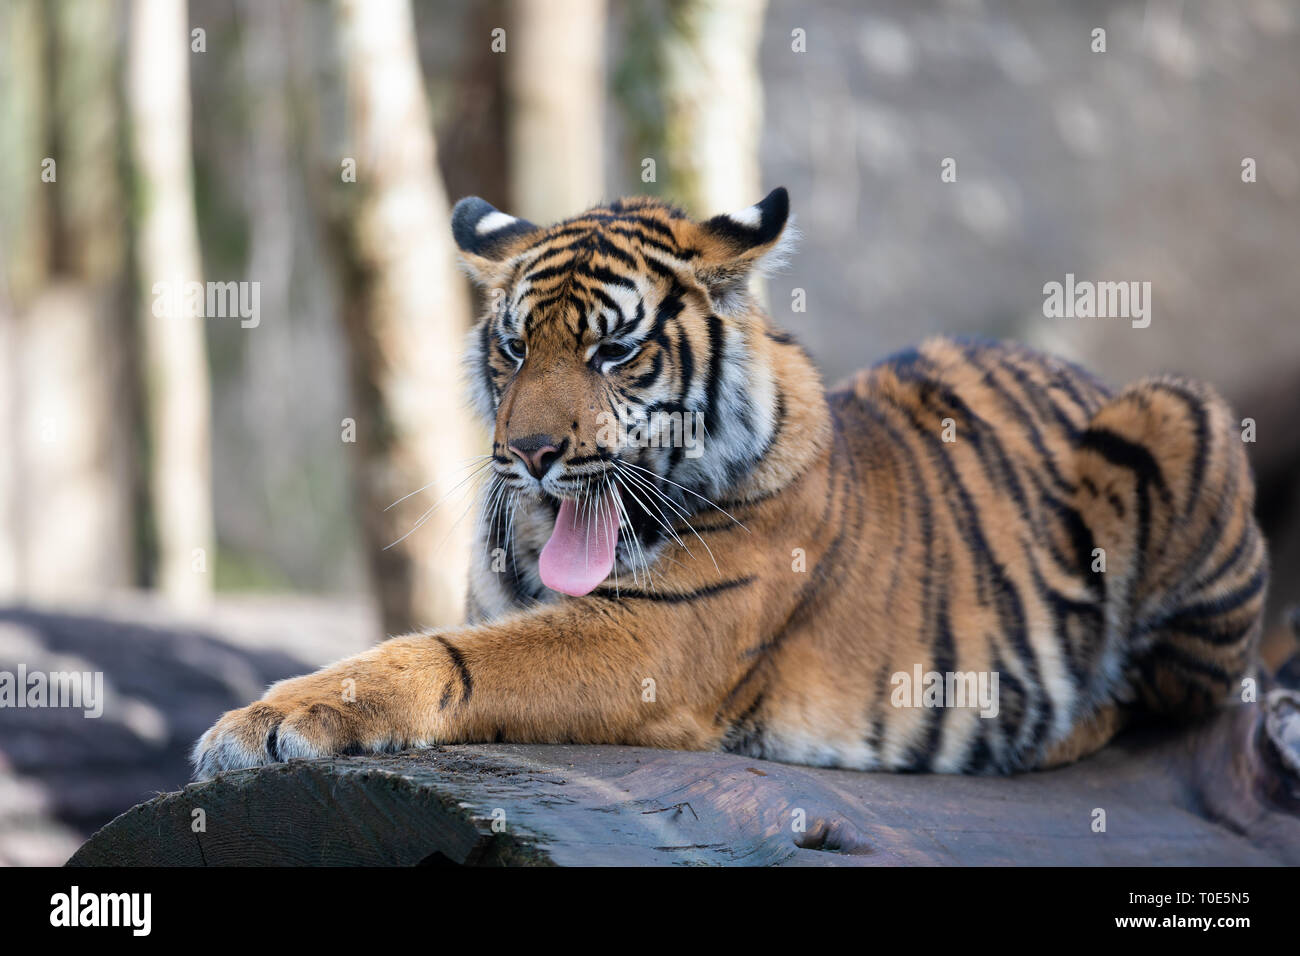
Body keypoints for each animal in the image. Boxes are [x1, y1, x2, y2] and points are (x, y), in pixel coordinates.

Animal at [193, 187, 1268, 779]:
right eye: (513, 346)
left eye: (614, 351)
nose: (531, 452)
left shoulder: (652, 638)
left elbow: (452, 657)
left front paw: (264, 724)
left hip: (1177, 411)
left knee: (1170, 701)